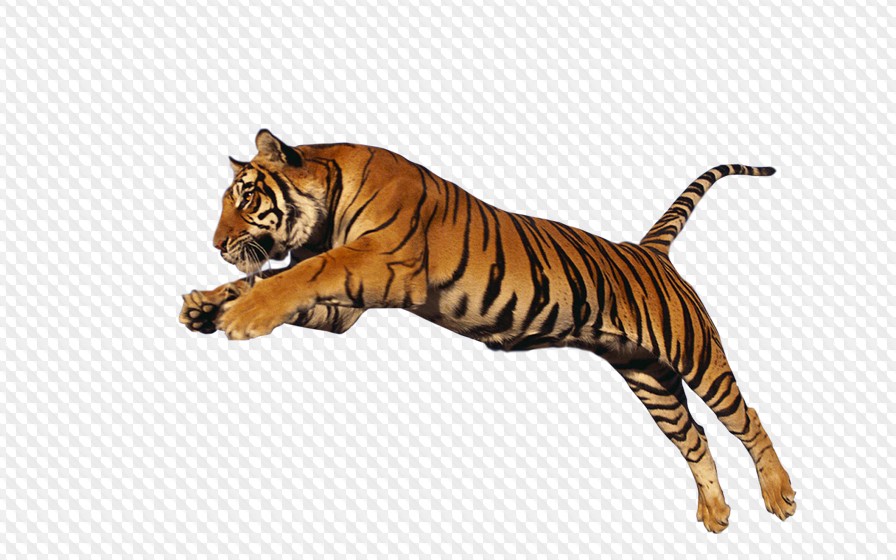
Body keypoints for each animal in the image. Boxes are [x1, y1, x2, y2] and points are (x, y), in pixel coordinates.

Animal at [180, 129, 796, 532]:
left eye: (247, 198)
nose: (217, 244)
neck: (328, 209)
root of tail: (649, 250)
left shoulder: (378, 262)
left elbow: (296, 275)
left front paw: (240, 316)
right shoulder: (345, 309)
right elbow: (268, 280)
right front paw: (205, 306)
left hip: (696, 355)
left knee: (747, 418)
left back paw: (780, 495)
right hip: (647, 376)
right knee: (694, 437)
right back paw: (715, 514)